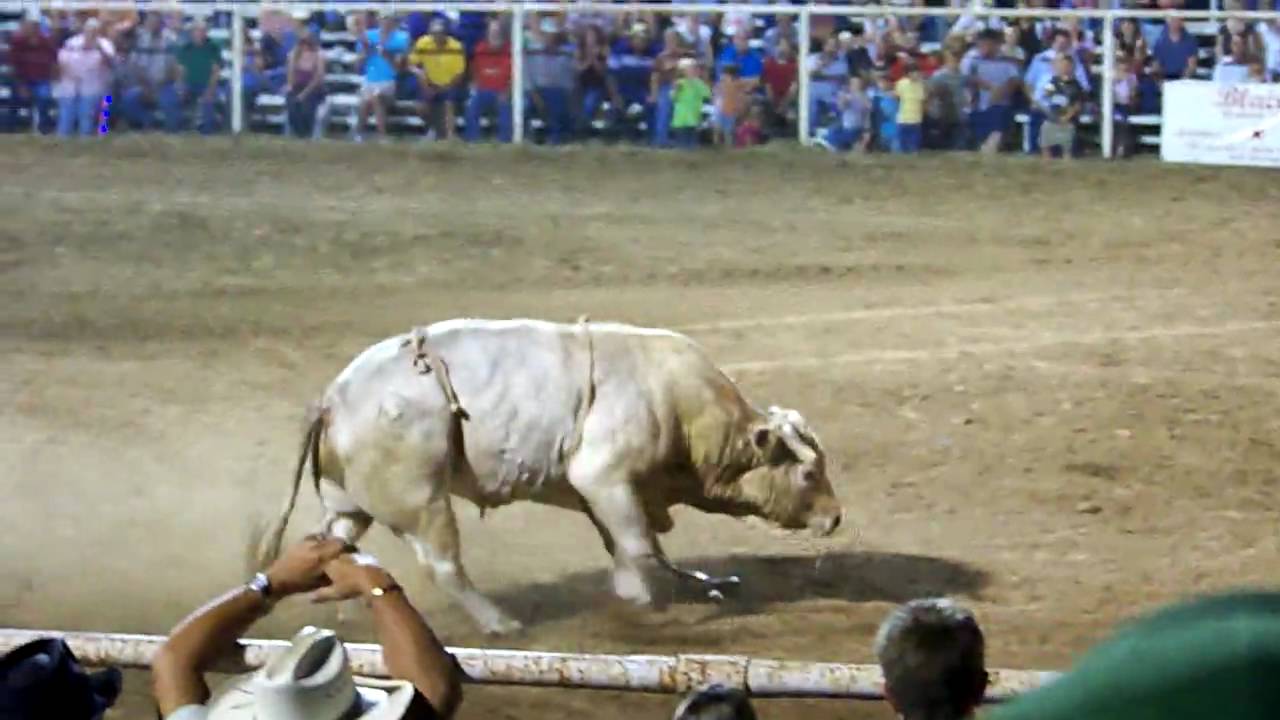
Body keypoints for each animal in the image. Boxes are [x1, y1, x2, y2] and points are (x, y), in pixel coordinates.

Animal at [256, 318, 843, 635]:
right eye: (809, 473)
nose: (836, 518)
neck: (690, 414)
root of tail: (332, 398)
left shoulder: (606, 492)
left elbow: (621, 544)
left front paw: (633, 595)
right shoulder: (606, 476)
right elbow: (641, 545)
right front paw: (662, 601)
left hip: (348, 502)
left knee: (330, 544)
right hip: (419, 499)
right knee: (444, 563)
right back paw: (499, 622)